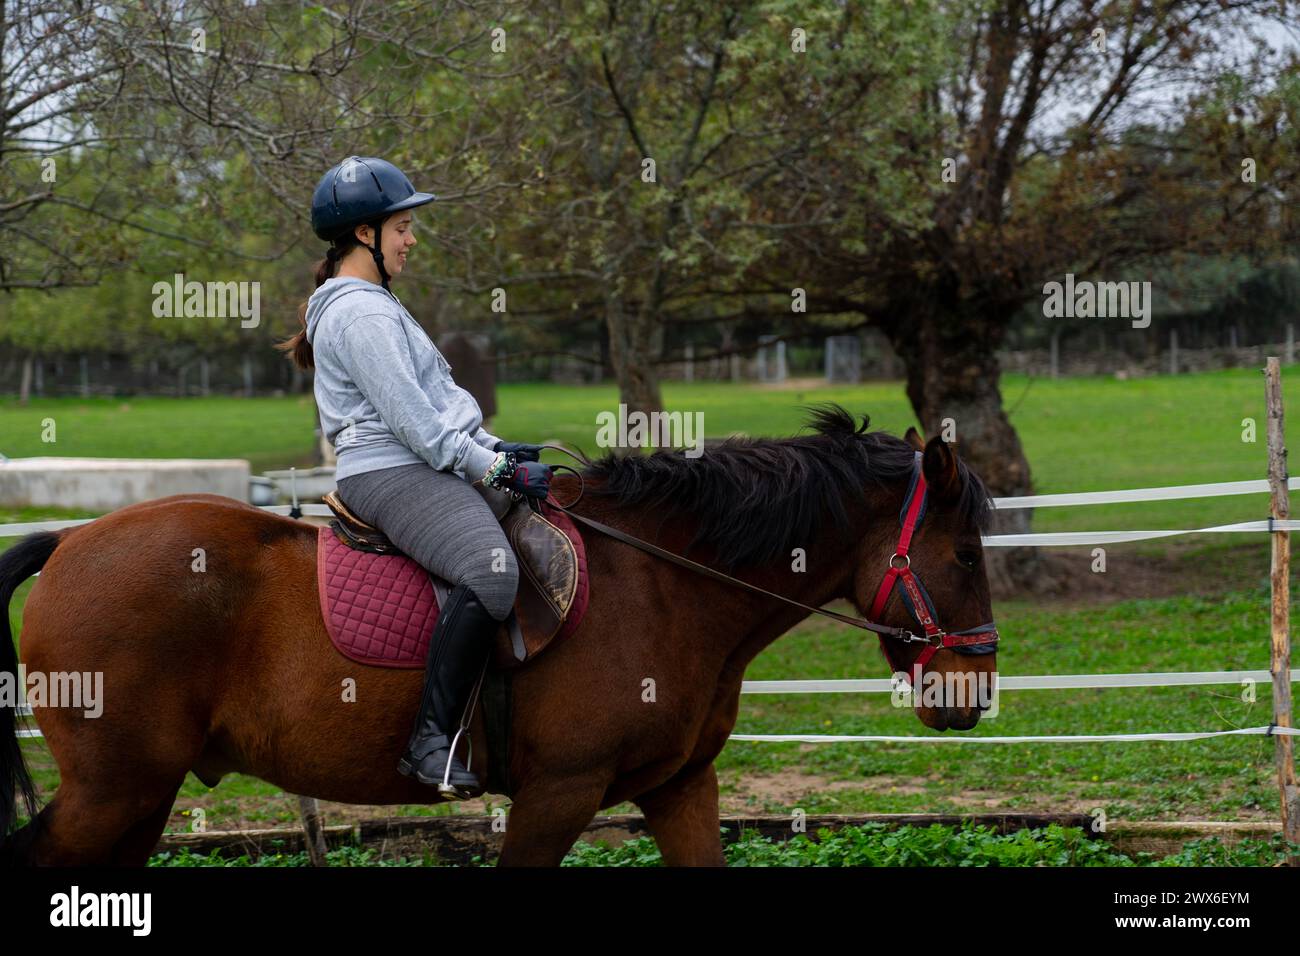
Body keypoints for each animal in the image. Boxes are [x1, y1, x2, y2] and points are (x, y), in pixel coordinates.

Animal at [0, 404, 998, 866]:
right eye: (964, 551)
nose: (975, 692)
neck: (665, 585)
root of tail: (72, 540)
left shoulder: (679, 787)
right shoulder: (560, 793)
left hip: (139, 794)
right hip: (115, 791)